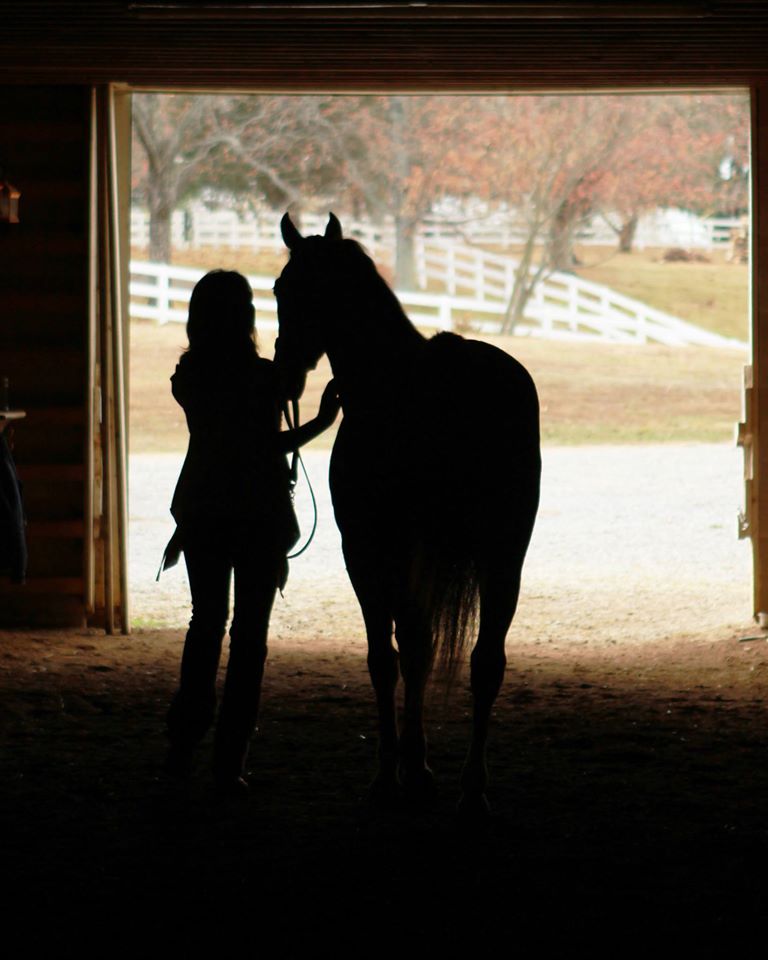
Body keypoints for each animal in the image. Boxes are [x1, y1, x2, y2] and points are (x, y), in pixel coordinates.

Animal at [274, 213, 541, 817]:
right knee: (462, 655)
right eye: (280, 289)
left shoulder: (366, 551)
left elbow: (387, 657)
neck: (391, 390)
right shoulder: (388, 552)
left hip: (501, 554)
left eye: (298, 290)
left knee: (484, 662)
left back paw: (473, 787)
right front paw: (411, 769)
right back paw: (463, 784)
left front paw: (393, 774)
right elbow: (405, 651)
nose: (284, 374)